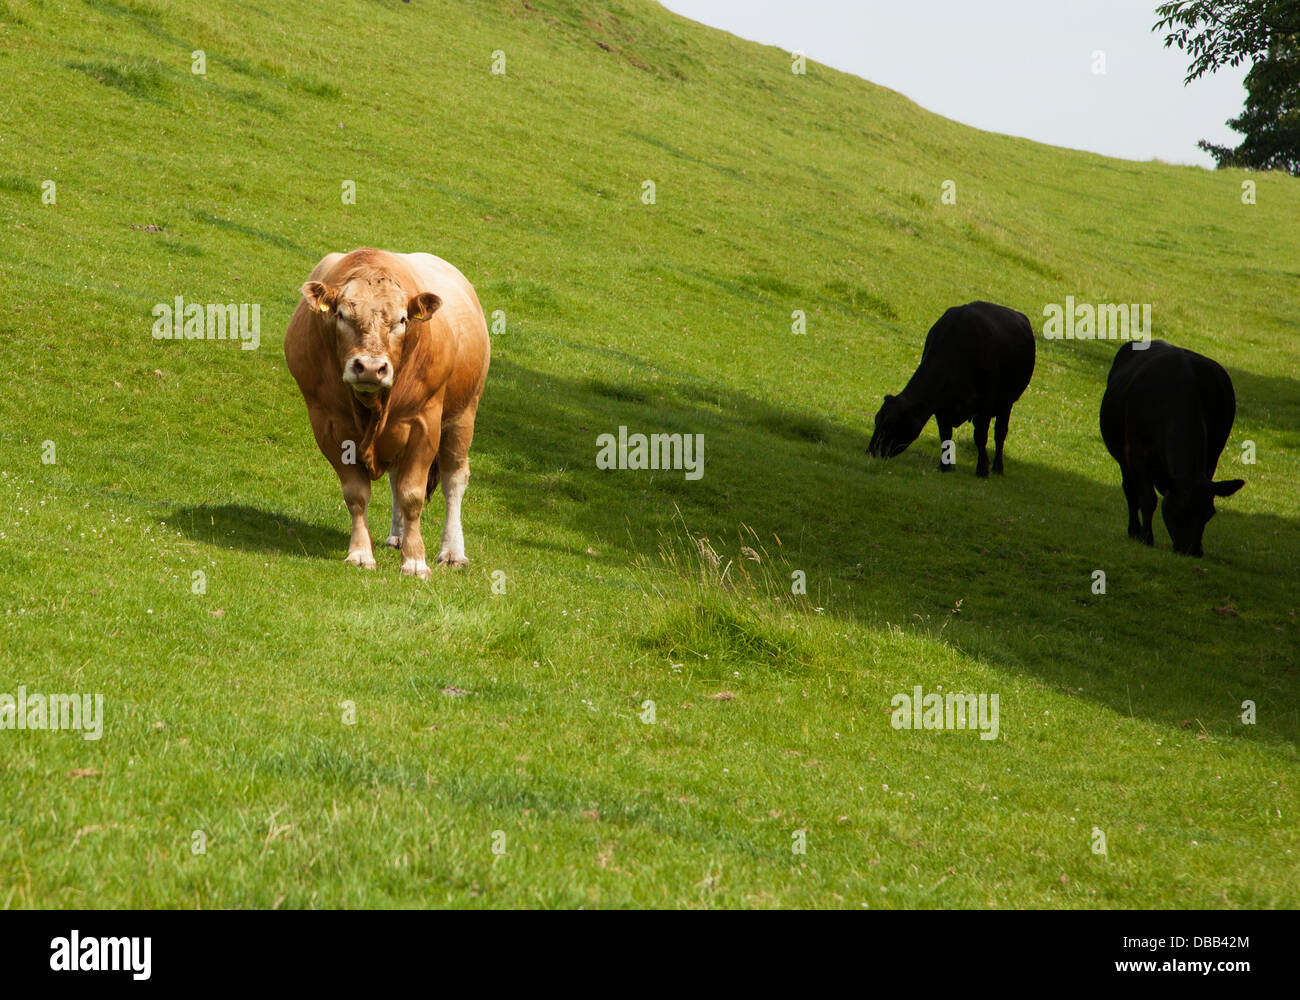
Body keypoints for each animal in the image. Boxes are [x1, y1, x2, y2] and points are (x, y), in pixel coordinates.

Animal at [284, 249, 490, 579]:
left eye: (402, 319)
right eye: (342, 315)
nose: (370, 367)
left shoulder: (424, 425)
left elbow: (412, 494)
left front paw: (415, 560)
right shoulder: (328, 425)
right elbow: (356, 494)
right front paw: (360, 553)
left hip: (463, 415)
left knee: (454, 480)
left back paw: (452, 551)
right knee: (396, 477)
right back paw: (398, 536)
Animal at [867, 301, 1035, 476]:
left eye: (890, 424)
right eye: (877, 421)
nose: (870, 451)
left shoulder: (984, 406)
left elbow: (980, 436)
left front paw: (982, 469)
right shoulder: (940, 405)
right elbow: (945, 435)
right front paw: (945, 466)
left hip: (1006, 403)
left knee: (1000, 433)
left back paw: (998, 467)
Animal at [1099, 340, 1243, 557]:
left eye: (1209, 514)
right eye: (1177, 510)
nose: (1193, 551)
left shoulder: (1211, 458)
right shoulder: (1137, 453)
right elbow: (1147, 499)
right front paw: (1146, 537)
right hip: (1123, 456)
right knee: (1130, 489)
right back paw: (1133, 530)